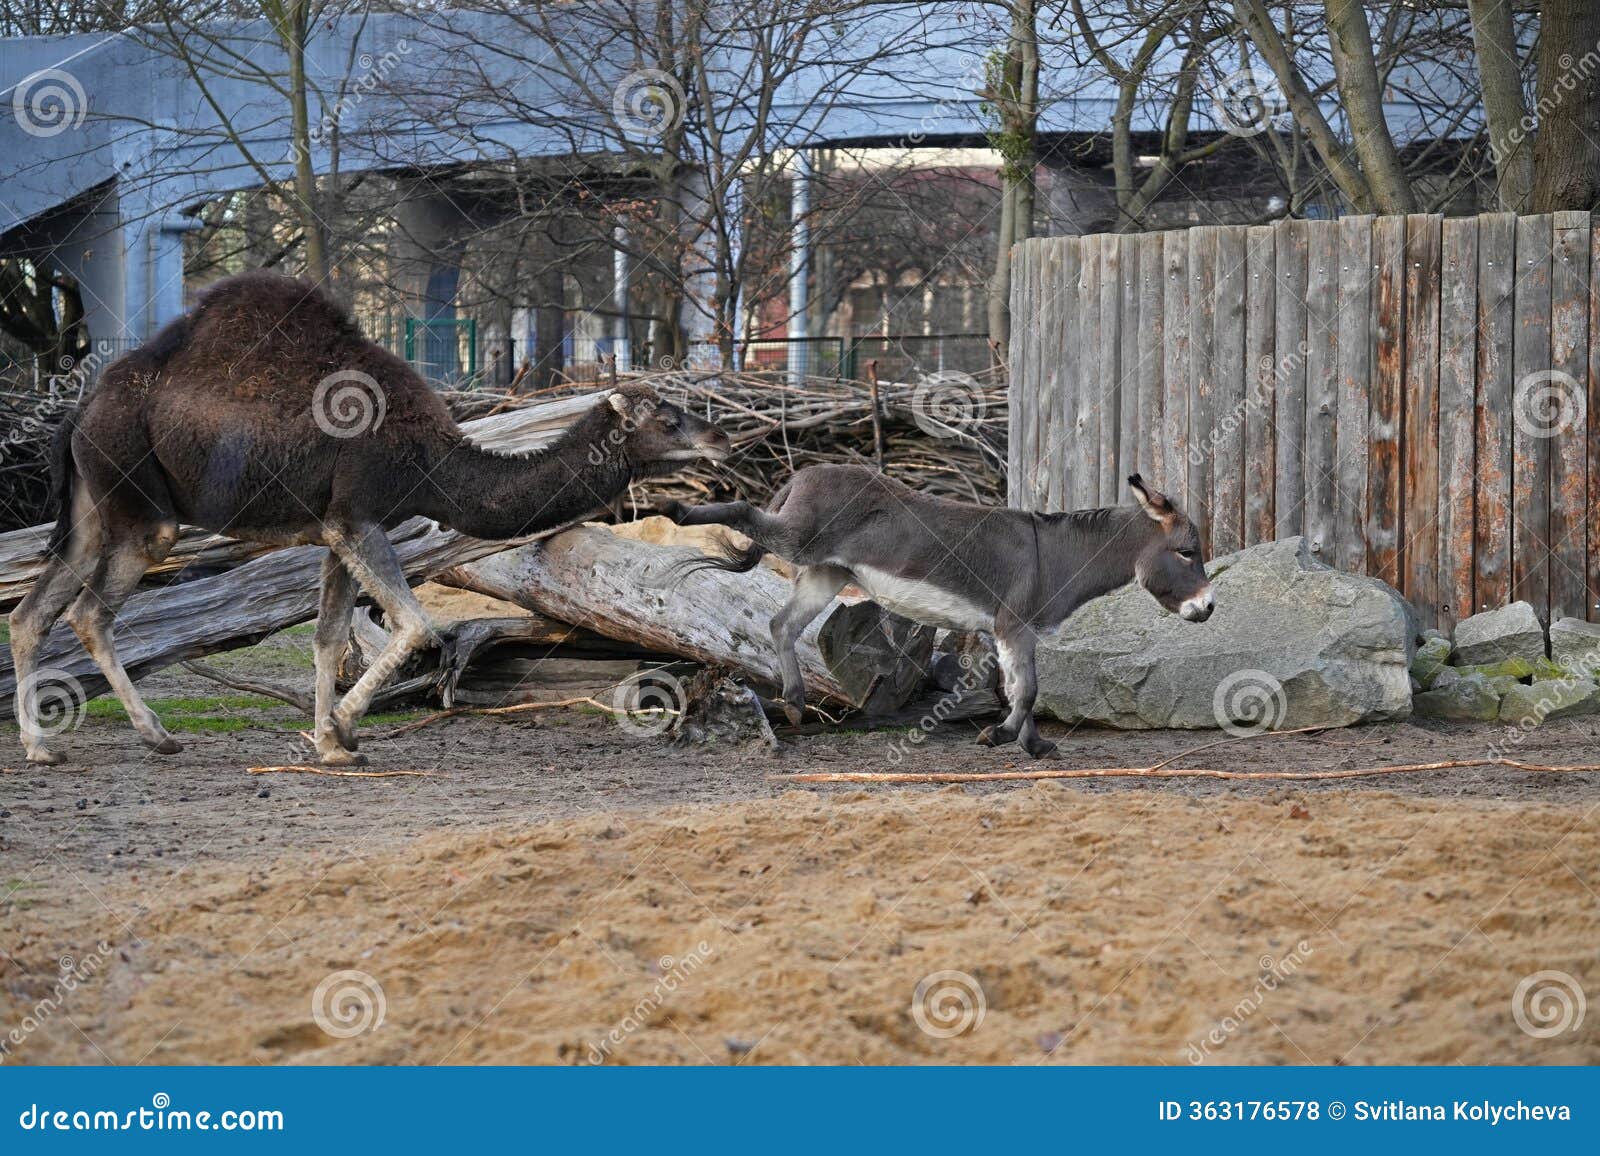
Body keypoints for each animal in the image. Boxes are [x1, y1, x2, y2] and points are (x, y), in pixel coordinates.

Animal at [9, 271, 730, 766]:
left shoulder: (333, 528)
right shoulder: (360, 516)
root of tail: (81, 411)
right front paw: (340, 729)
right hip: (143, 508)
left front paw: (330, 742)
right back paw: (156, 735)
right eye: (668, 419)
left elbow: (330, 637)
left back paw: (42, 747)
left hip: (93, 509)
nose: (721, 437)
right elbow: (414, 624)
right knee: (89, 613)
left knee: (31, 613)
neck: (432, 457)